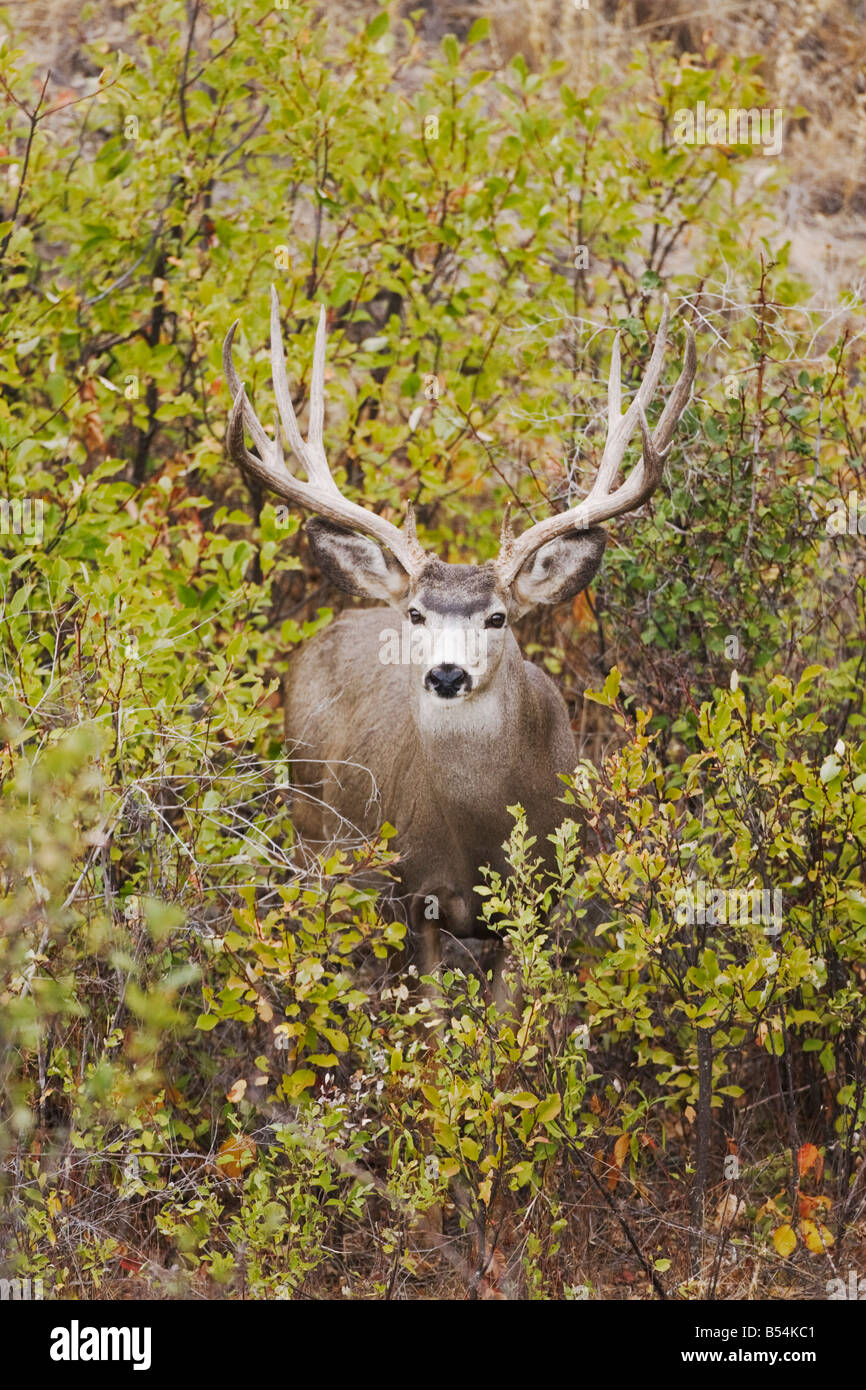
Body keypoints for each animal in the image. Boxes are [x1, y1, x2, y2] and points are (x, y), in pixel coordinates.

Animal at [222, 289, 696, 994]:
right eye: (417, 613)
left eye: (497, 617)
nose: (447, 675)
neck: (481, 838)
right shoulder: (413, 890)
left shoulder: (539, 900)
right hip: (308, 820)